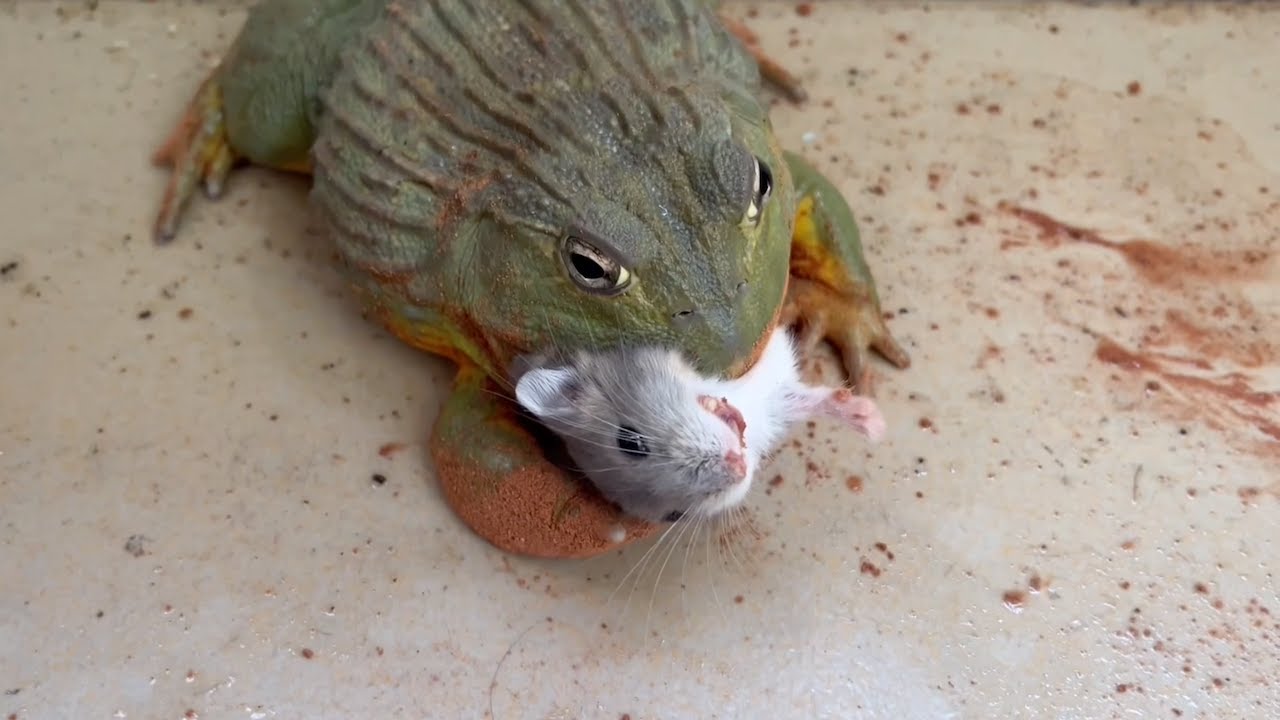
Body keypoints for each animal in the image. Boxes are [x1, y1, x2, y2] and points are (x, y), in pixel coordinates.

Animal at [512, 326, 885, 524]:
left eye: (630, 441)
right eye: (673, 515)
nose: (738, 468)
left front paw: (874, 422)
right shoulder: (778, 403)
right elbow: (807, 401)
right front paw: (876, 424)